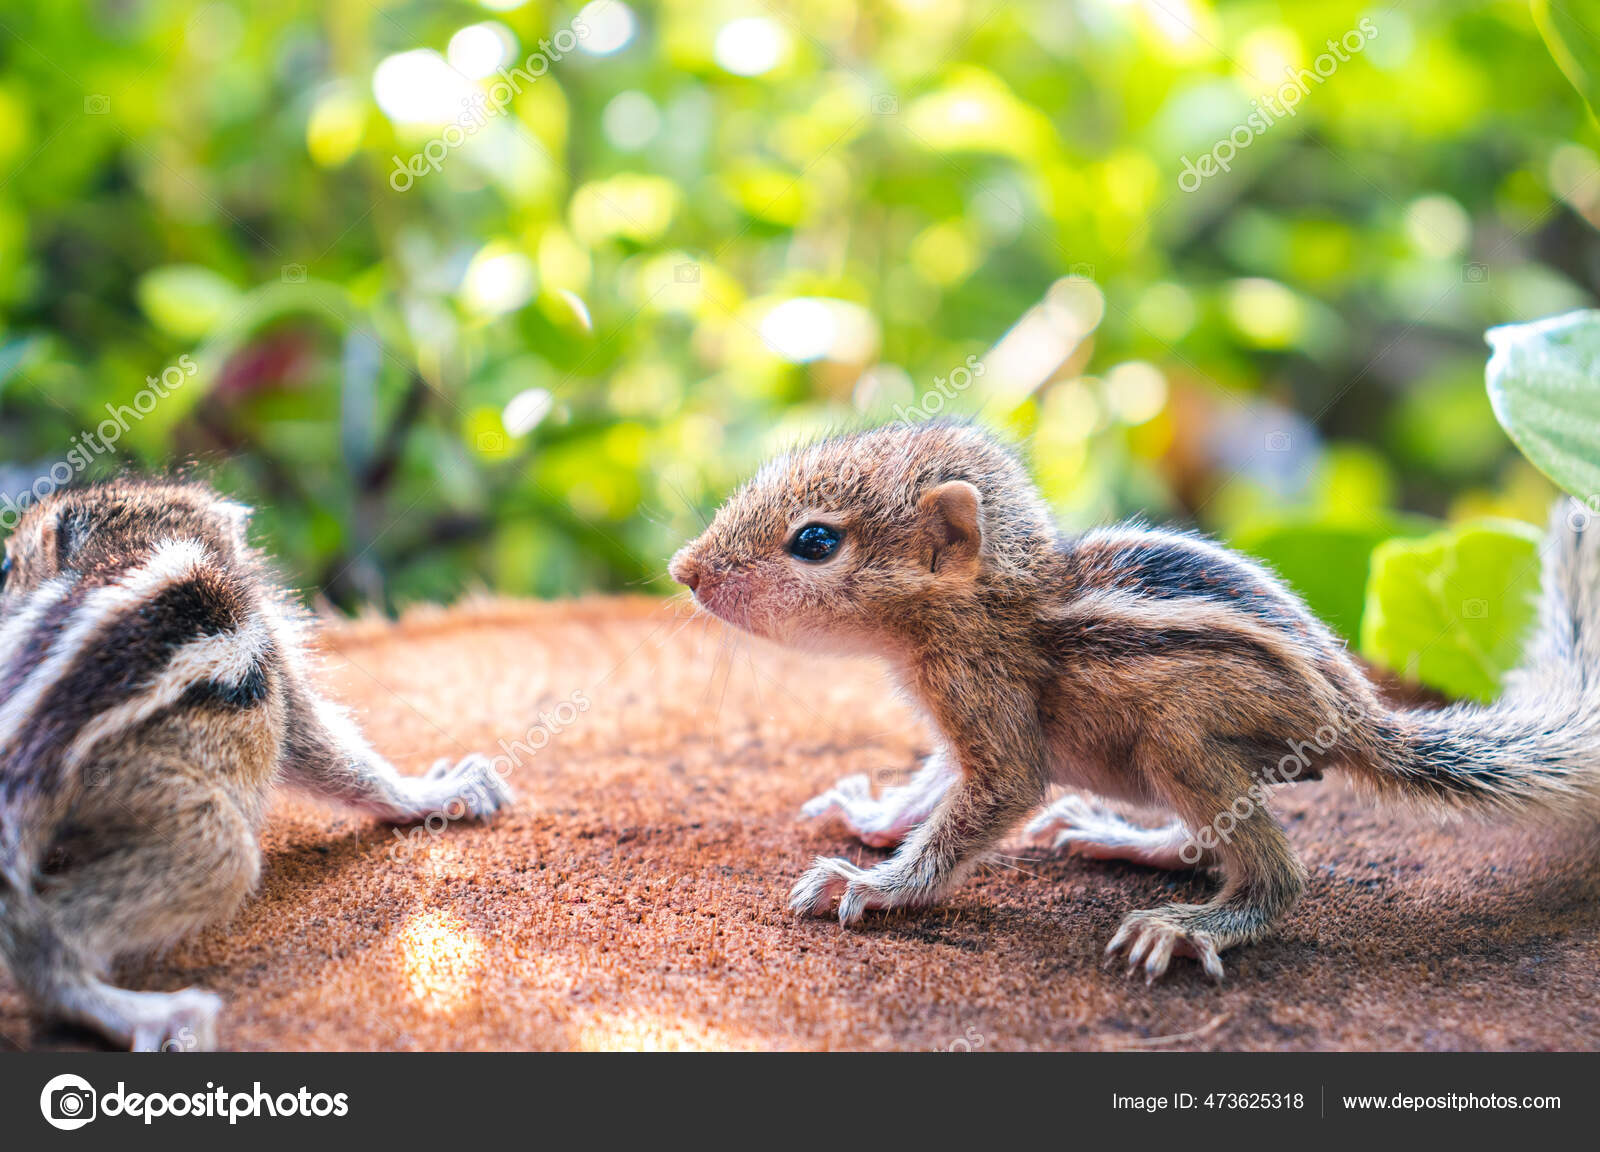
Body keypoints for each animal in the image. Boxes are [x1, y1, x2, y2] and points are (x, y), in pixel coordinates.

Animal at [0, 478, 513, 1049]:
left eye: (8, 566)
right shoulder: (273, 654)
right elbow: (330, 755)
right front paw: (431, 793)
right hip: (152, 796)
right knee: (54, 940)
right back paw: (145, 1013)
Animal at [669, 420, 1600, 981]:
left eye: (815, 541)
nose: (683, 568)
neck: (991, 605)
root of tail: (1359, 718)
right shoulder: (956, 730)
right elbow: (930, 784)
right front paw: (869, 817)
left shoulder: (994, 723)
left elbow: (975, 811)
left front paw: (872, 884)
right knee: (1201, 843)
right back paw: (1123, 838)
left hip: (1180, 741)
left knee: (1279, 875)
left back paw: (1190, 927)